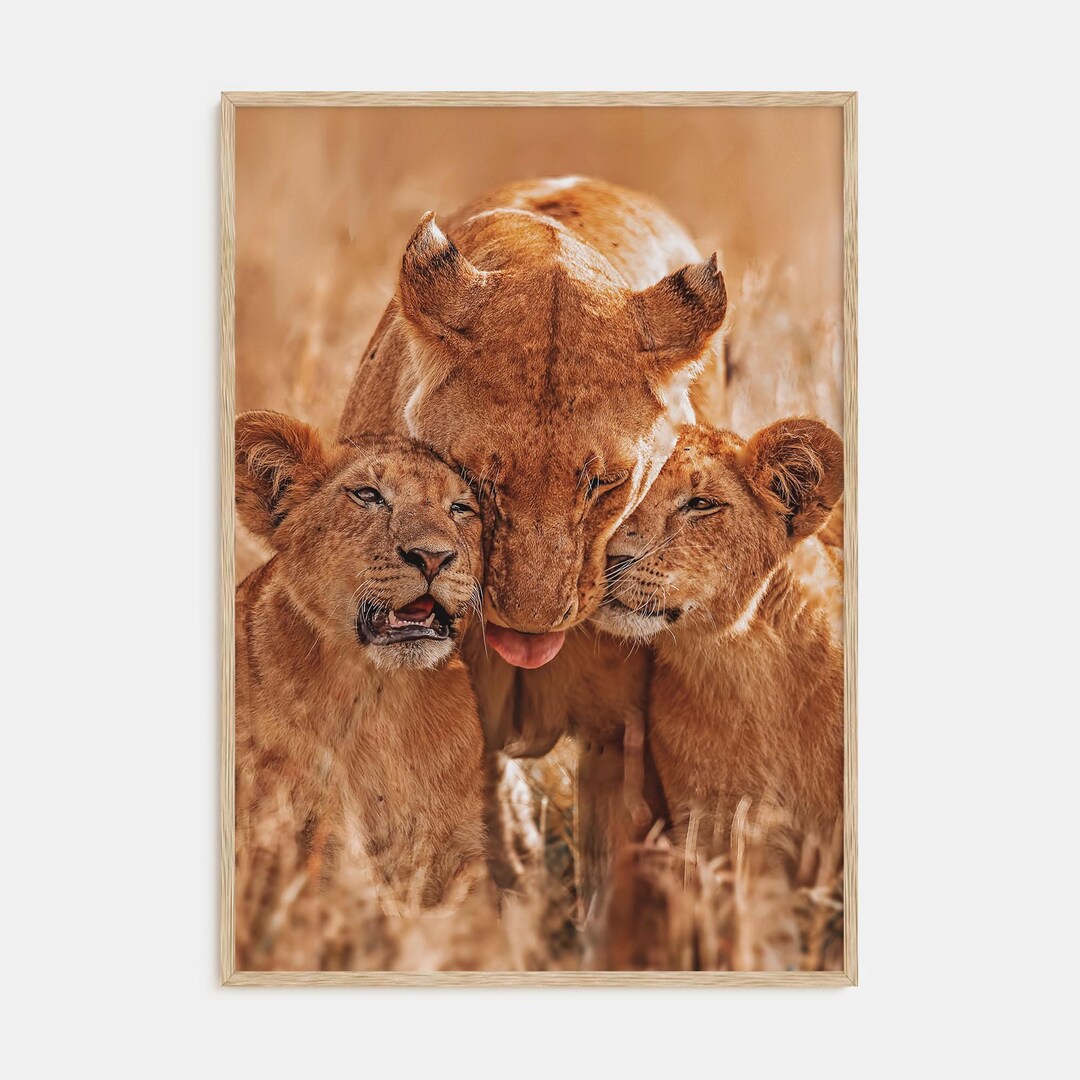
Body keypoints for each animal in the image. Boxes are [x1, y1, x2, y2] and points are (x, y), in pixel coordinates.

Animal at [233, 410, 487, 908]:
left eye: (460, 508)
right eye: (368, 495)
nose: (433, 557)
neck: (384, 700)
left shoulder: (464, 848)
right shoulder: (303, 830)